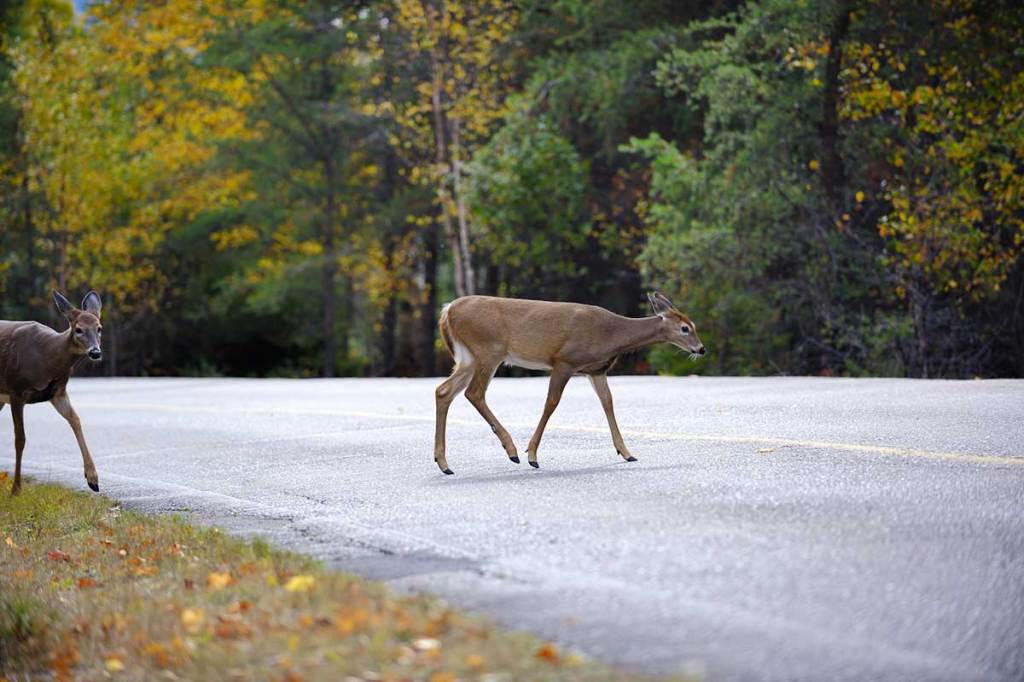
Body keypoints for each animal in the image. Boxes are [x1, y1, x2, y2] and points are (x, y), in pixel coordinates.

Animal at [0, 291, 104, 495]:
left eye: (99, 328)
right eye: (78, 329)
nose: (95, 352)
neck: (46, 359)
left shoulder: (58, 393)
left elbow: (75, 420)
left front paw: (93, 479)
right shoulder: (16, 390)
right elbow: (20, 439)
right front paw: (16, 489)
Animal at [433, 291, 705, 474]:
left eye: (693, 325)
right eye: (685, 328)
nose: (702, 349)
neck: (612, 335)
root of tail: (447, 310)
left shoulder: (596, 370)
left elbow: (608, 402)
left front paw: (627, 453)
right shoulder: (564, 361)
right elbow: (551, 403)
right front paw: (532, 455)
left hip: (469, 357)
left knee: (443, 390)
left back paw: (444, 463)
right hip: (489, 349)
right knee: (474, 393)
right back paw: (511, 451)